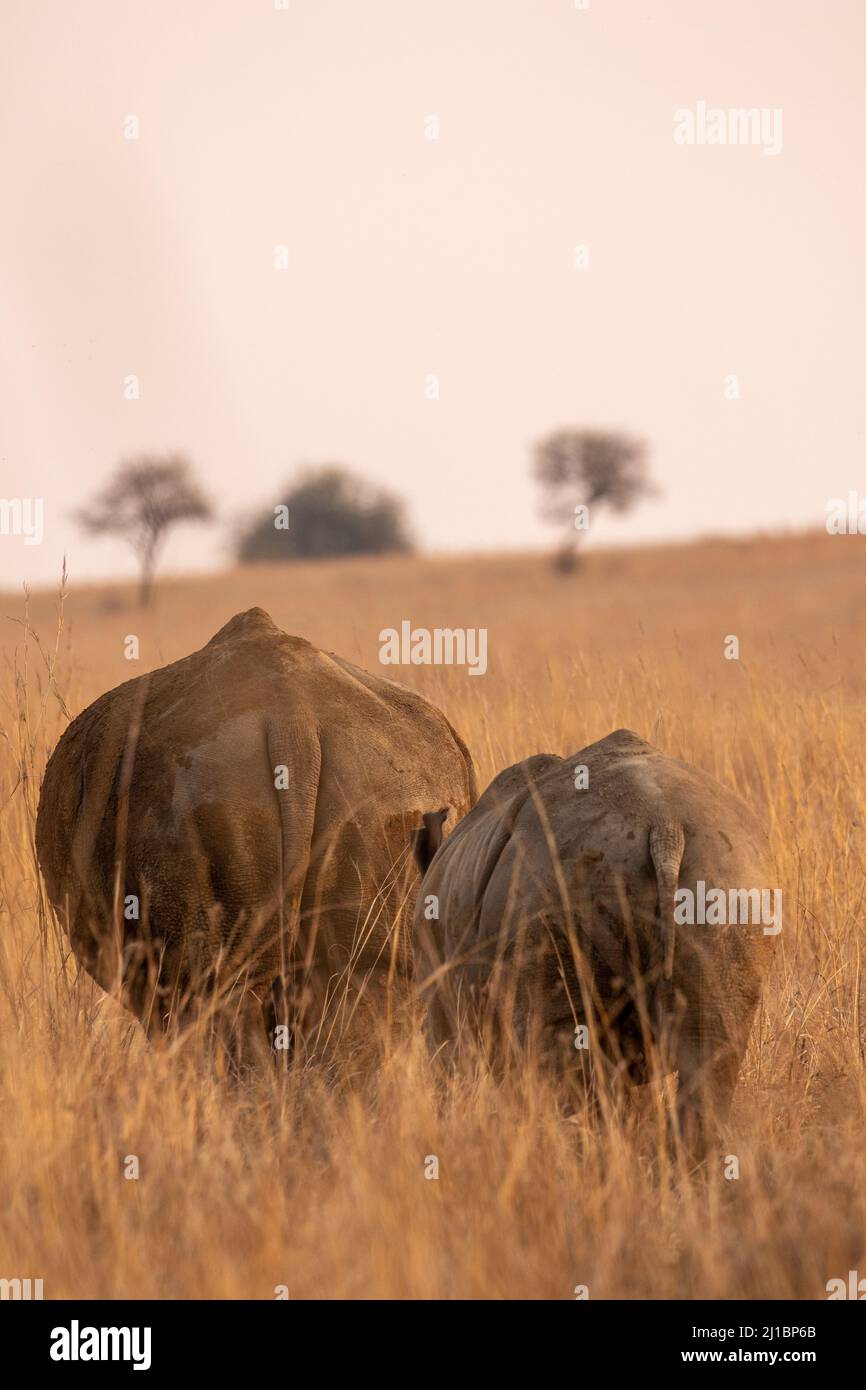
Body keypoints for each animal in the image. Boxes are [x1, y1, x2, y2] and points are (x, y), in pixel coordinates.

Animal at [413, 729, 777, 1146]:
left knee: (560, 1056)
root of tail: (666, 827)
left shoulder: (442, 999)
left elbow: (453, 1071)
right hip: (729, 875)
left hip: (562, 881)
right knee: (710, 1052)